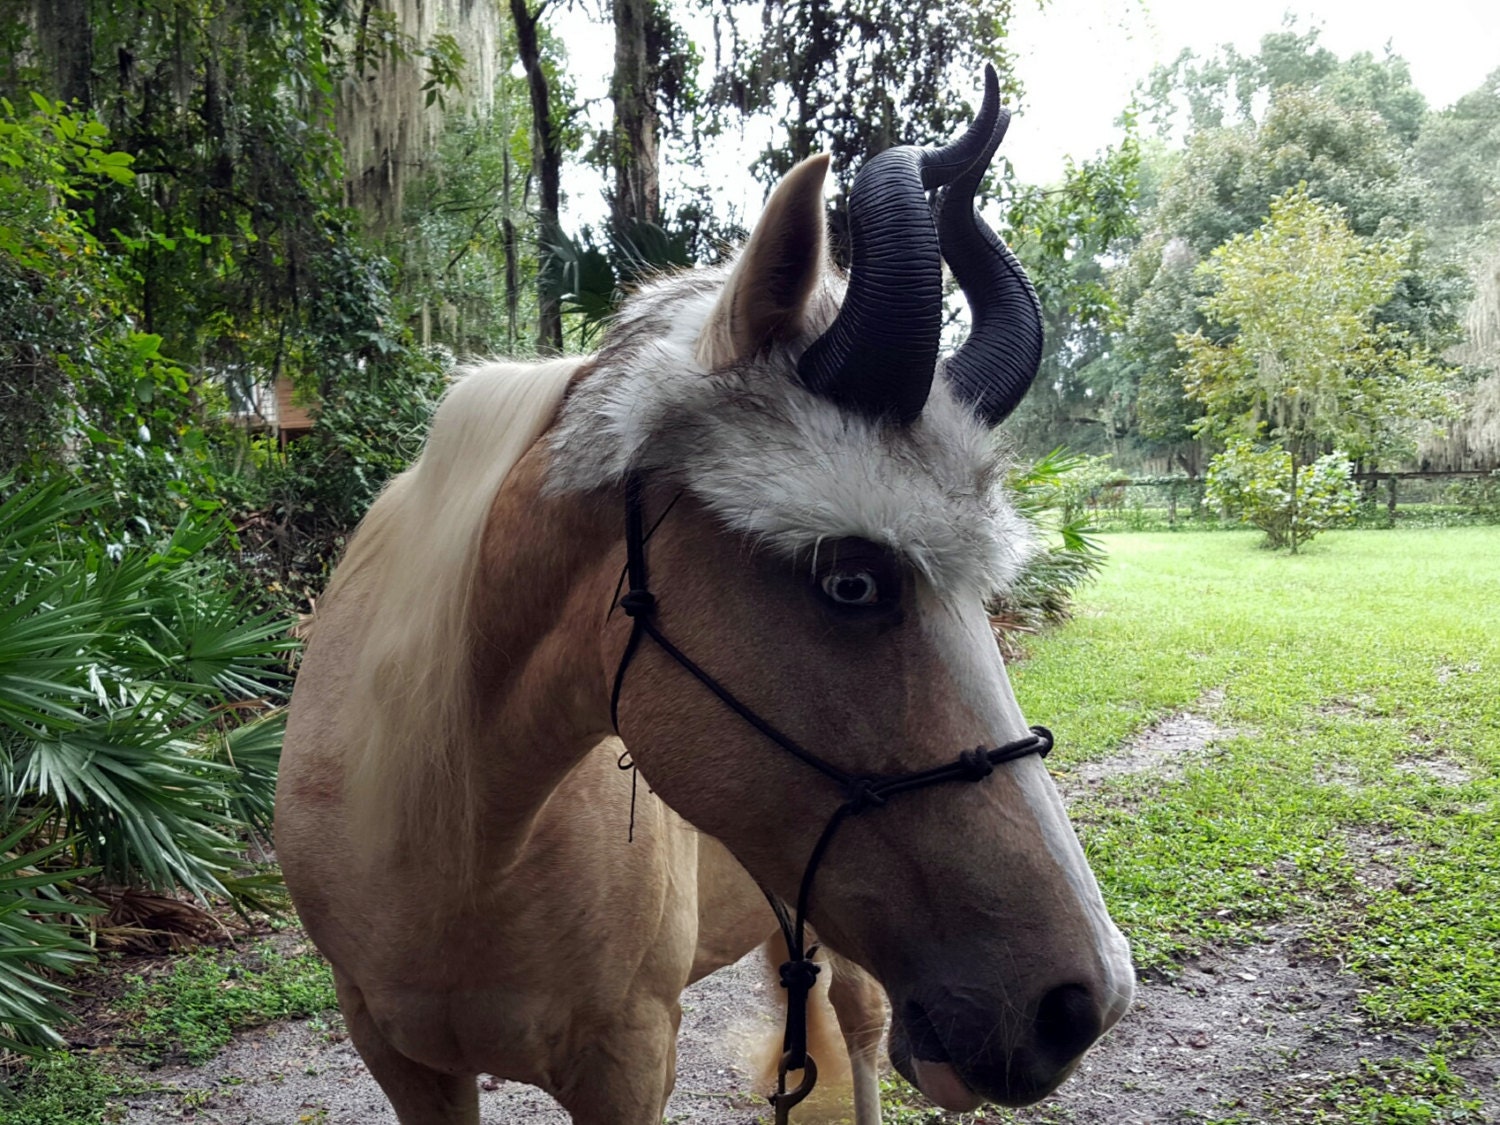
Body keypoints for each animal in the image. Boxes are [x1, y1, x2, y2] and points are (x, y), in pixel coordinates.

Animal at [276, 68, 1135, 1125]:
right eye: (852, 581)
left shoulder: (629, 1059)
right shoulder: (403, 1061)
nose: (1083, 1001)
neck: (453, 831)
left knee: (858, 1029)